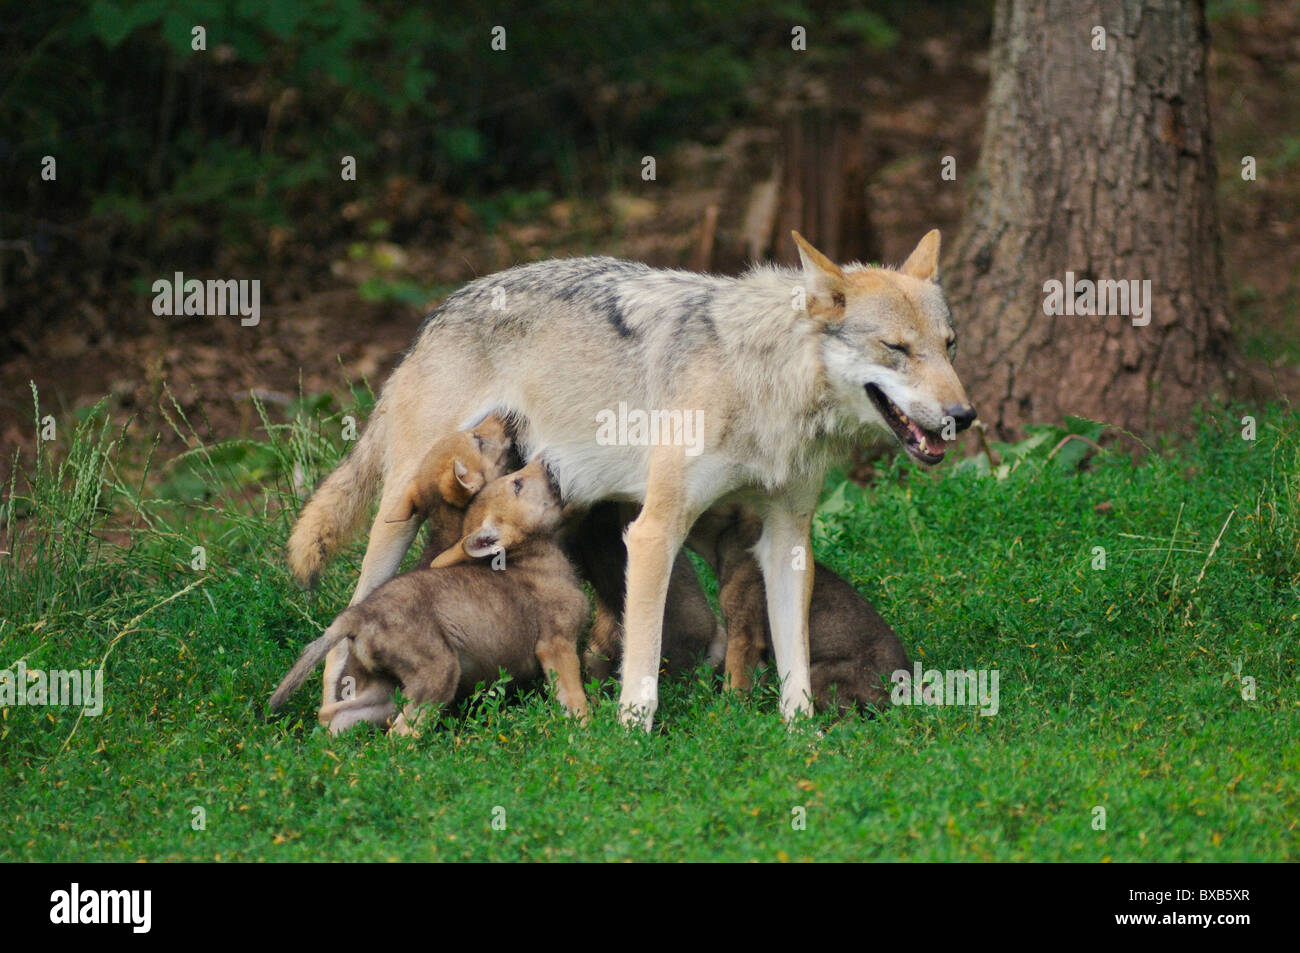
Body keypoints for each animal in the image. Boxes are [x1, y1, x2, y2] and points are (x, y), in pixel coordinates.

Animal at [287, 230, 974, 729]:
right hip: (396, 521)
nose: (964, 416)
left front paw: (799, 733)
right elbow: (642, 663)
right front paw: (632, 740)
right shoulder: (654, 531)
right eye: (896, 349)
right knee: (346, 618)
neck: (762, 381)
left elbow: (794, 660)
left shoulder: (787, 538)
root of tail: (439, 311)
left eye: (949, 346)